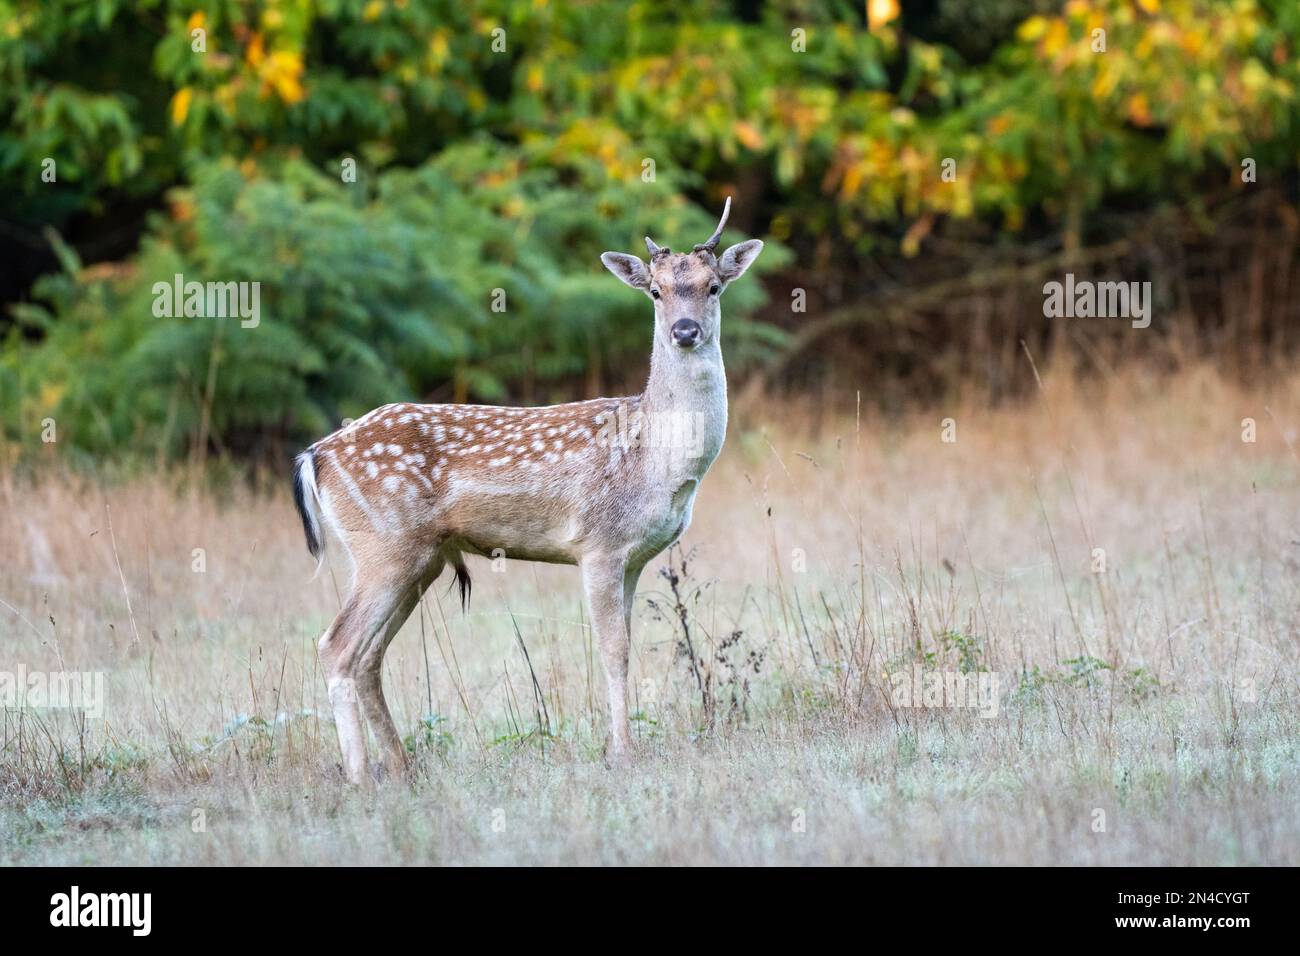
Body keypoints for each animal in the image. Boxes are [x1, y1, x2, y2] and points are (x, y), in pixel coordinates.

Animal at [292, 198, 763, 783]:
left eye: (713, 286)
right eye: (655, 291)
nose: (684, 330)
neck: (655, 457)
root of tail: (316, 455)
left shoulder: (633, 558)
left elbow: (626, 645)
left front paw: (616, 746)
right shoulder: (599, 544)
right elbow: (613, 650)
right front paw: (621, 753)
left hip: (419, 558)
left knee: (367, 656)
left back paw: (400, 767)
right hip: (384, 544)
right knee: (336, 645)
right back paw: (360, 776)